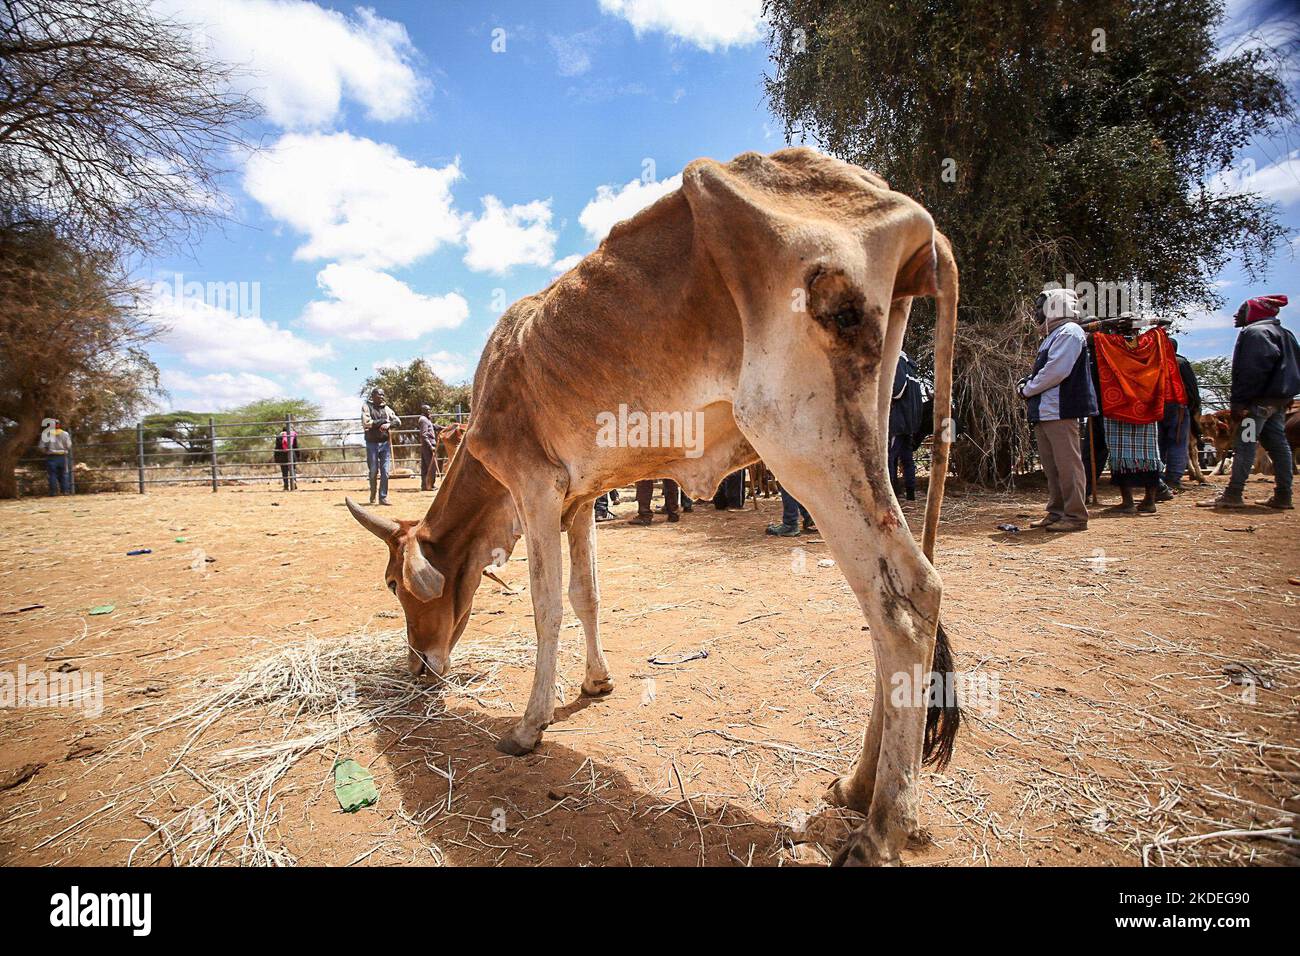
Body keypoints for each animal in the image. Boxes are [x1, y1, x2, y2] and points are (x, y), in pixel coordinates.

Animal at [346, 148, 960, 866]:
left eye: (394, 585)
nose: (417, 667)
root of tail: (900, 208)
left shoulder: (534, 488)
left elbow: (546, 608)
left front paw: (529, 727)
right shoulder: (579, 500)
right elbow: (586, 595)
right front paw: (595, 682)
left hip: (800, 443)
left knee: (906, 599)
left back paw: (882, 825)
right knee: (885, 613)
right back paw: (857, 786)